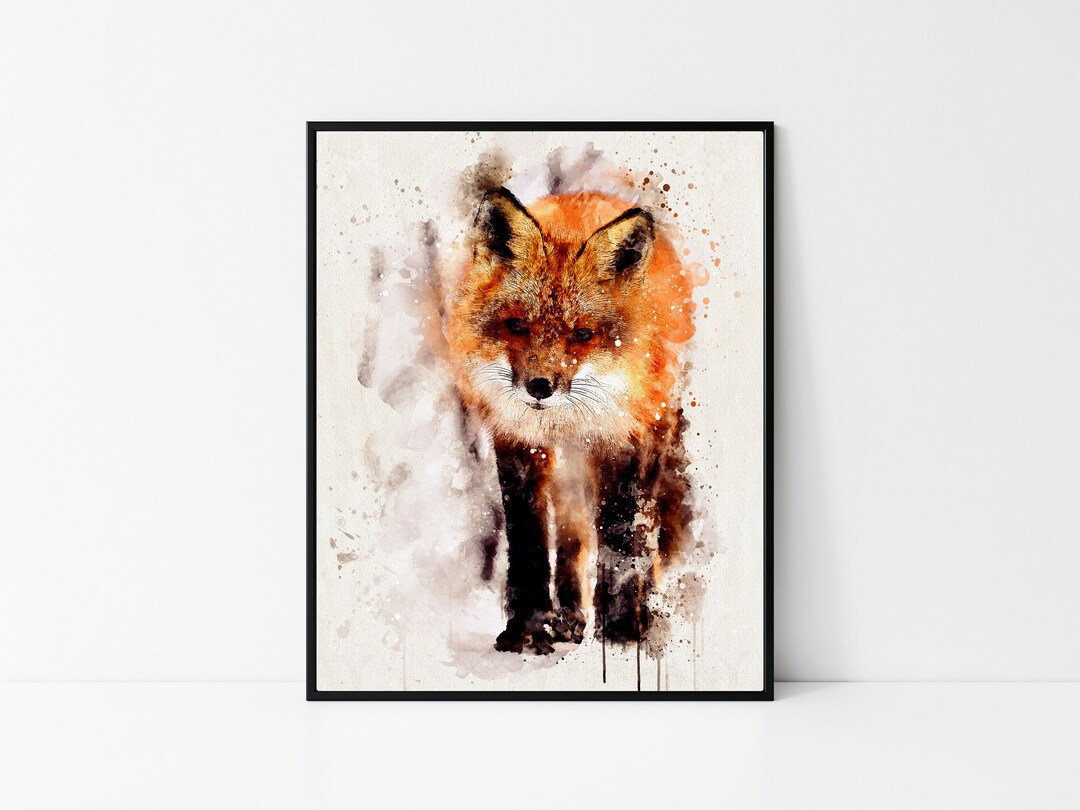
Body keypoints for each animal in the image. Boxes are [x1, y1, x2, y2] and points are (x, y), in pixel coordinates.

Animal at [447, 186, 696, 655]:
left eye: (582, 334)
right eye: (517, 325)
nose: (539, 387)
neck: (563, 423)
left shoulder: (626, 439)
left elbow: (620, 539)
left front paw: (621, 632)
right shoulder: (518, 441)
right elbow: (528, 542)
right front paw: (526, 629)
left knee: (642, 535)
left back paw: (640, 613)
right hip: (569, 477)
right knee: (572, 539)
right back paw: (568, 618)